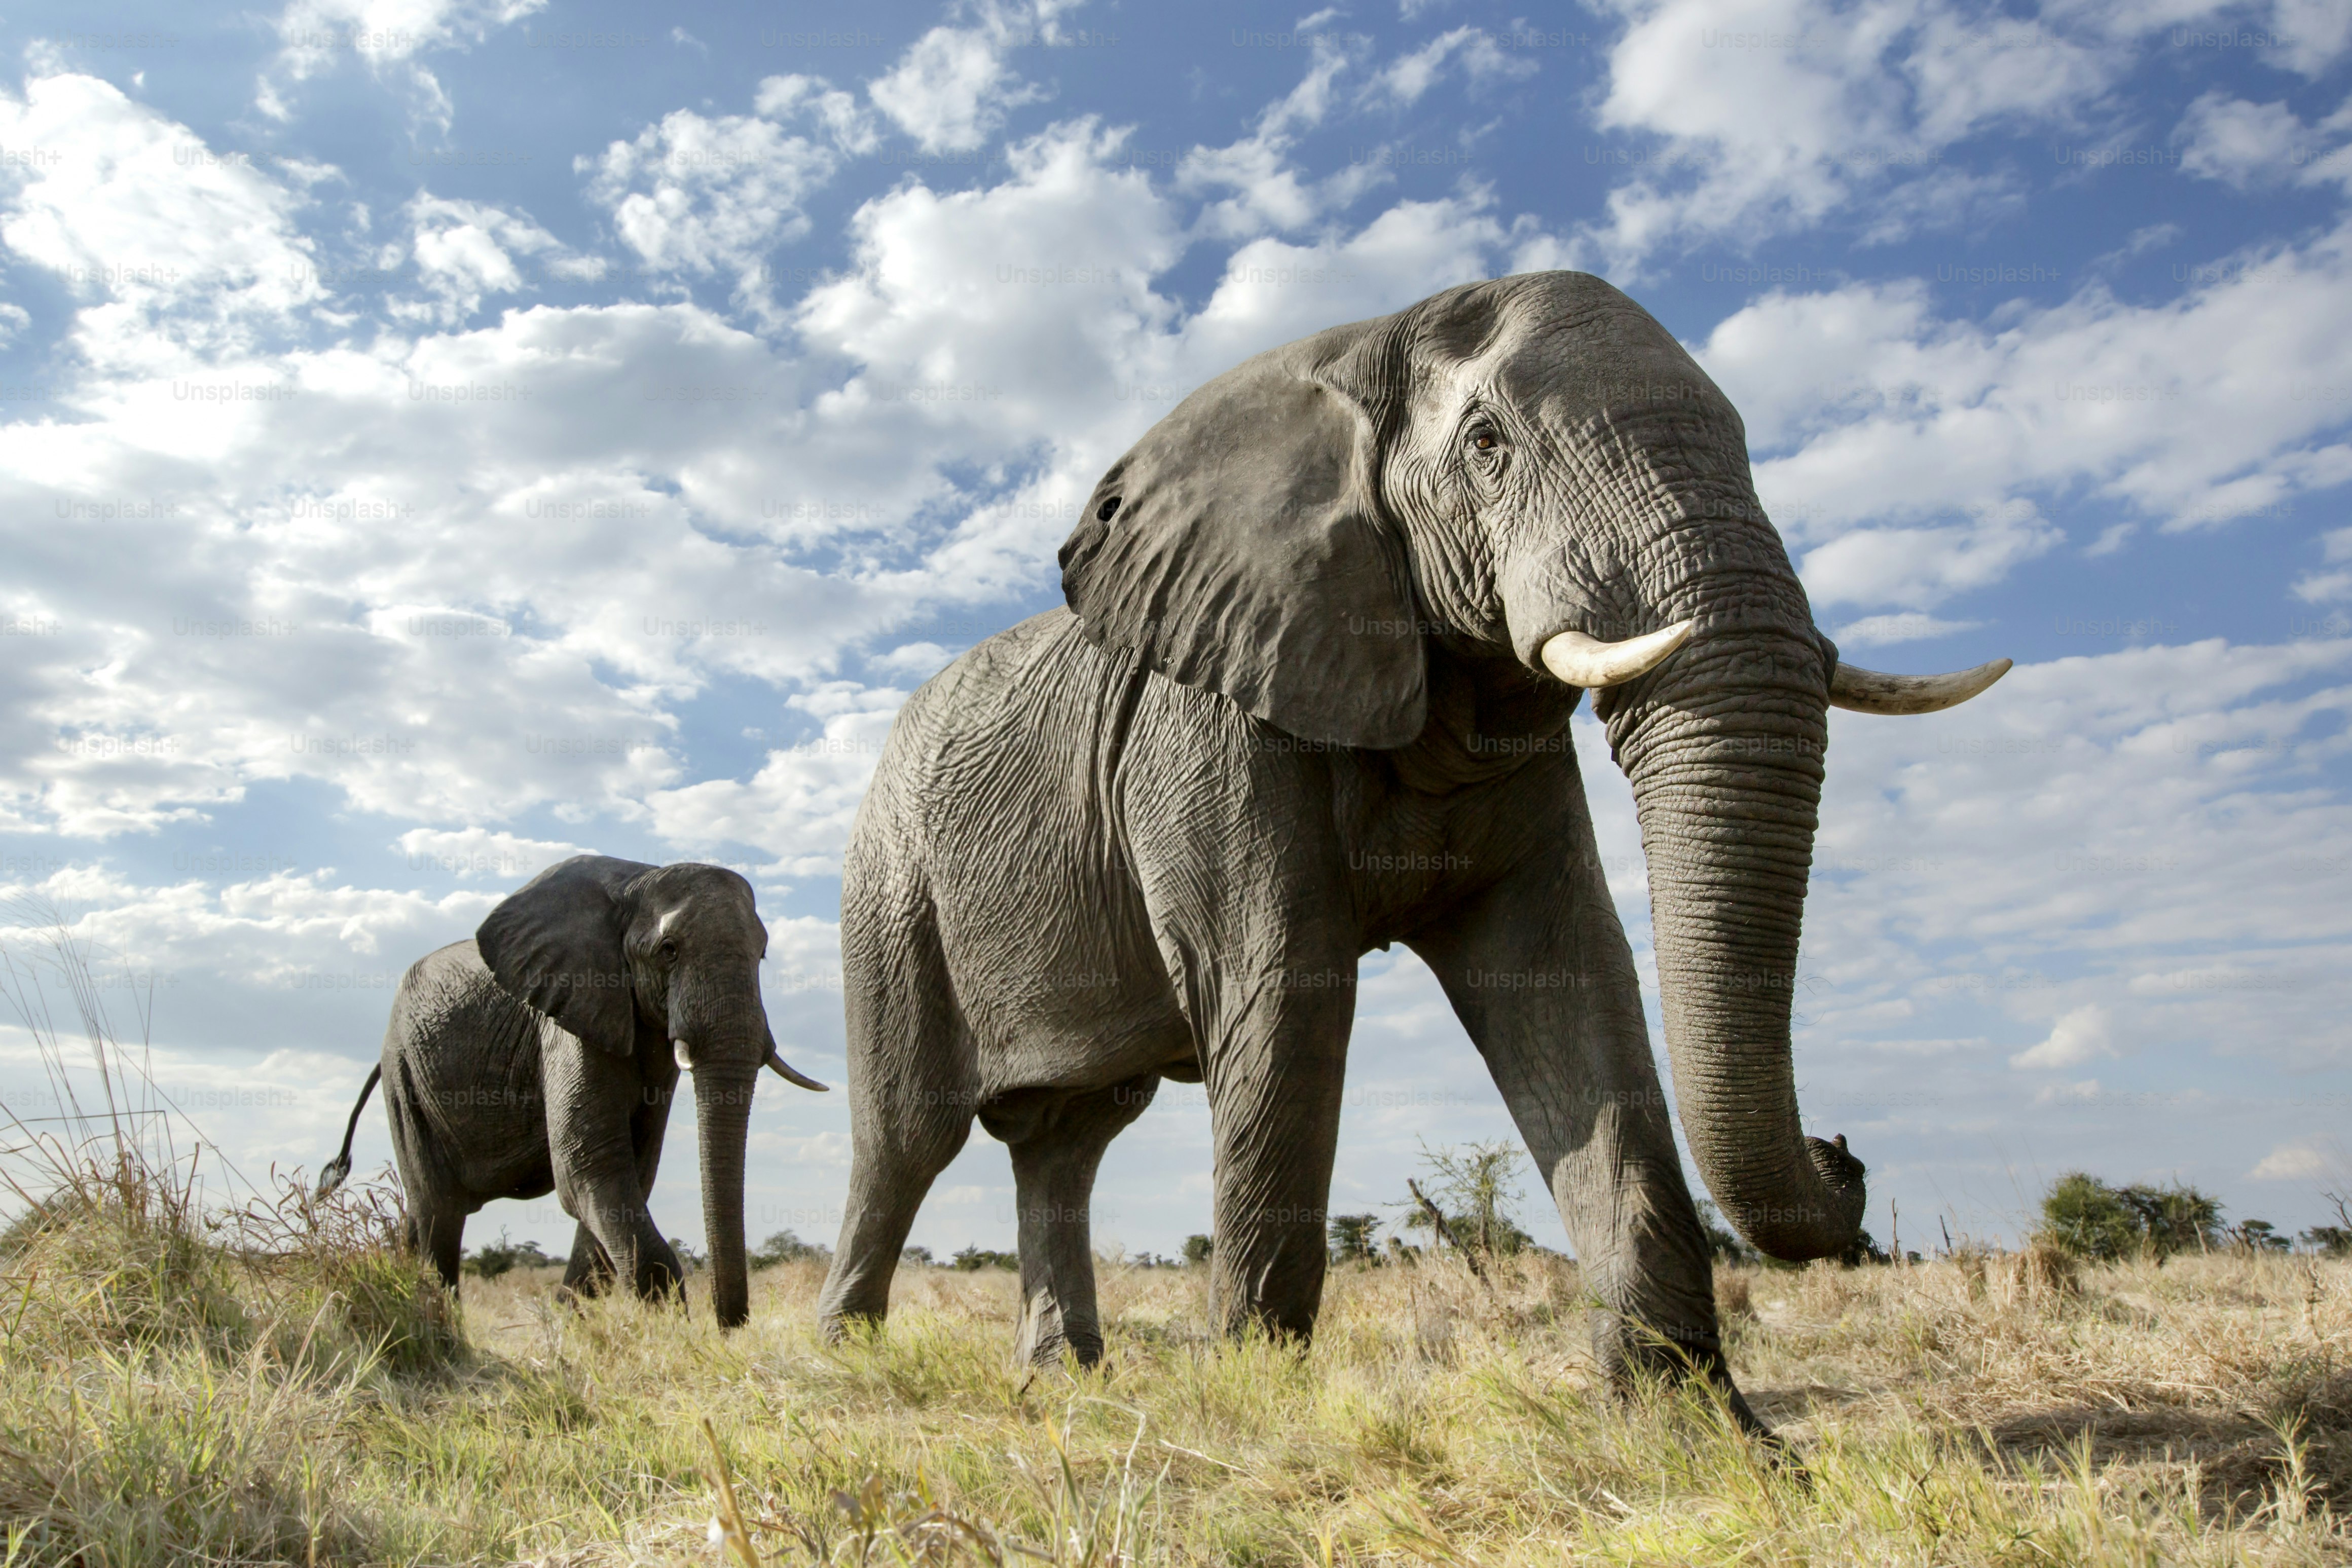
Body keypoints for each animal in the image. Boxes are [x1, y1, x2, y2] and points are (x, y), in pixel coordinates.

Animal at [317, 855, 826, 1328]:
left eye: (762, 955)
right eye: (669, 950)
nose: (728, 1329)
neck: (638, 881)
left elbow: (631, 1172)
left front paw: (571, 1329)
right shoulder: (570, 1013)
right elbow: (589, 1165)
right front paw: (667, 1333)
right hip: (405, 1074)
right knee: (438, 1211)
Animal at [813, 270, 2008, 1418]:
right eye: (1487, 446)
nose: (1845, 1153)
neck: (1358, 349)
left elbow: (1563, 982)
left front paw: (1697, 1428)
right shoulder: (1214, 721)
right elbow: (1285, 988)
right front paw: (1261, 1407)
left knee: (1069, 1139)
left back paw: (1062, 1380)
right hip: (889, 889)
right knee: (906, 1134)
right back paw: (843, 1364)